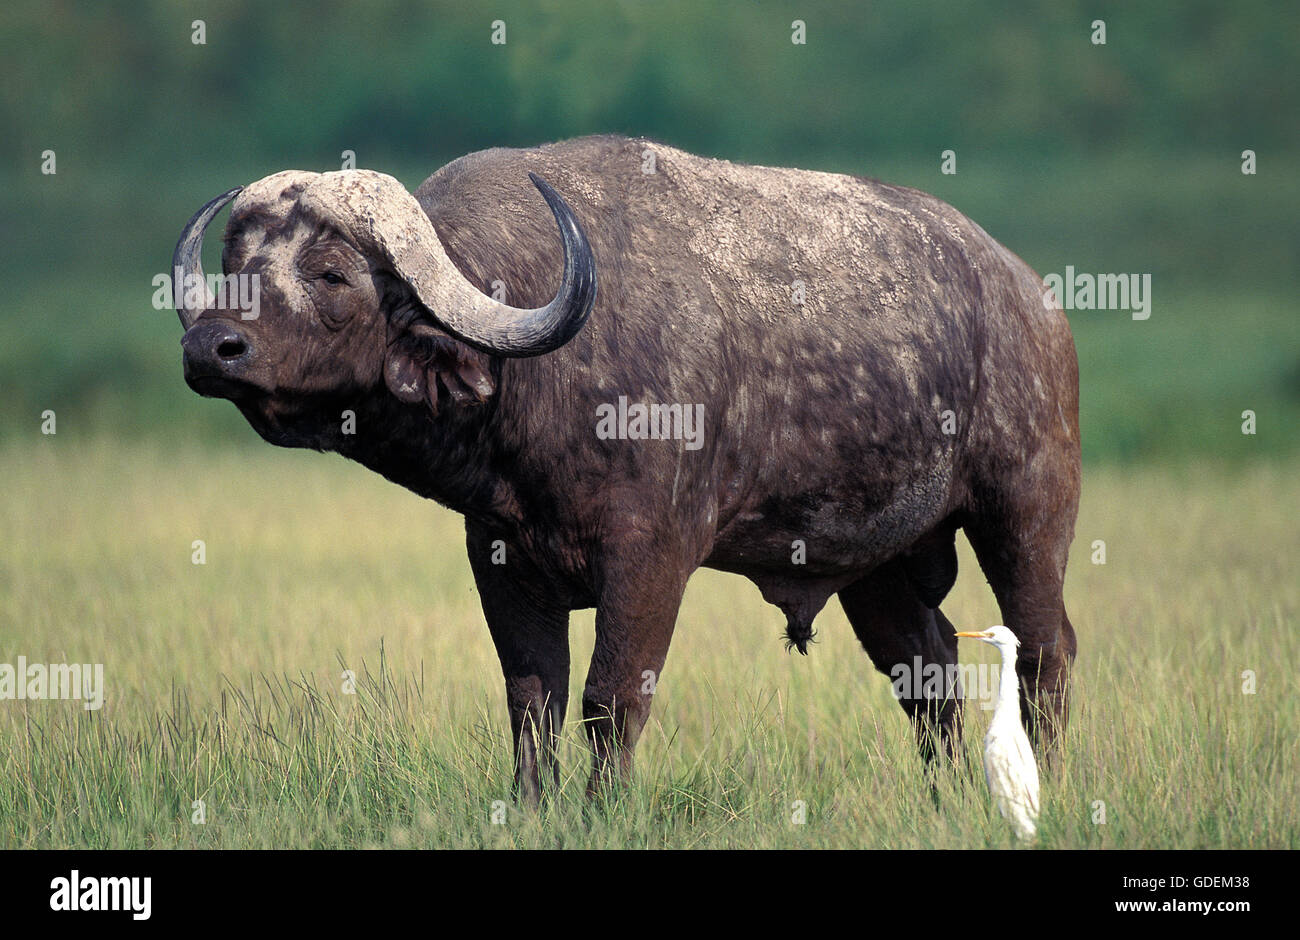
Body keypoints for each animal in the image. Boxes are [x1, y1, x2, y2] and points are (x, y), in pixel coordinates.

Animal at [173, 135, 1080, 804]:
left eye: (330, 273)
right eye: (236, 268)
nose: (211, 345)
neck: (539, 374)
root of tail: (1028, 295)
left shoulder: (651, 558)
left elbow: (611, 698)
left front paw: (602, 809)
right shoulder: (501, 560)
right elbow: (531, 697)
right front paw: (531, 809)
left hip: (1029, 510)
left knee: (1046, 653)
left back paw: (1044, 786)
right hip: (877, 562)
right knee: (926, 671)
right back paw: (948, 800)